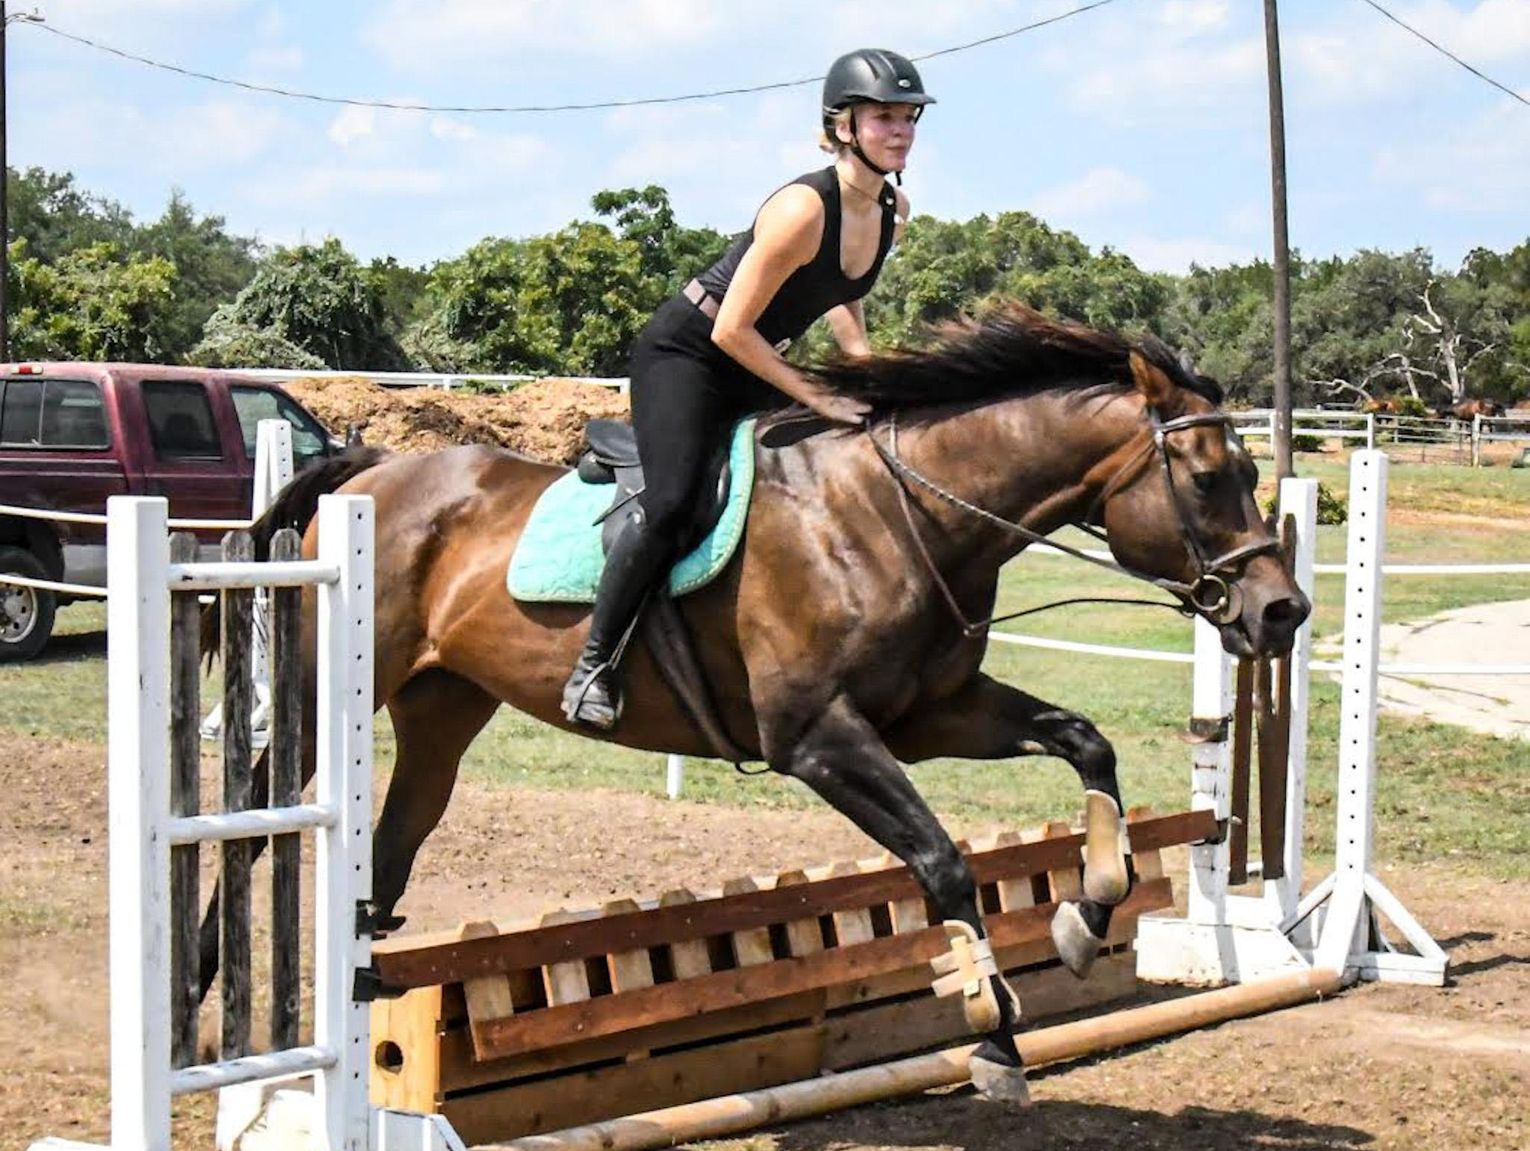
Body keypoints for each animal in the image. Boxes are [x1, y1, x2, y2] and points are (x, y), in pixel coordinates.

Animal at [198, 303, 1309, 1101]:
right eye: (1205, 477)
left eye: (1251, 471)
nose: (1283, 610)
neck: (904, 513)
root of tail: (378, 466)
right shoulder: (818, 740)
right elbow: (943, 861)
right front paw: (993, 1031)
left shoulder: (932, 715)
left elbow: (1087, 744)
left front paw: (1088, 911)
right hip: (328, 688)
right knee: (258, 809)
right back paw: (215, 997)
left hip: (443, 706)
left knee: (394, 840)